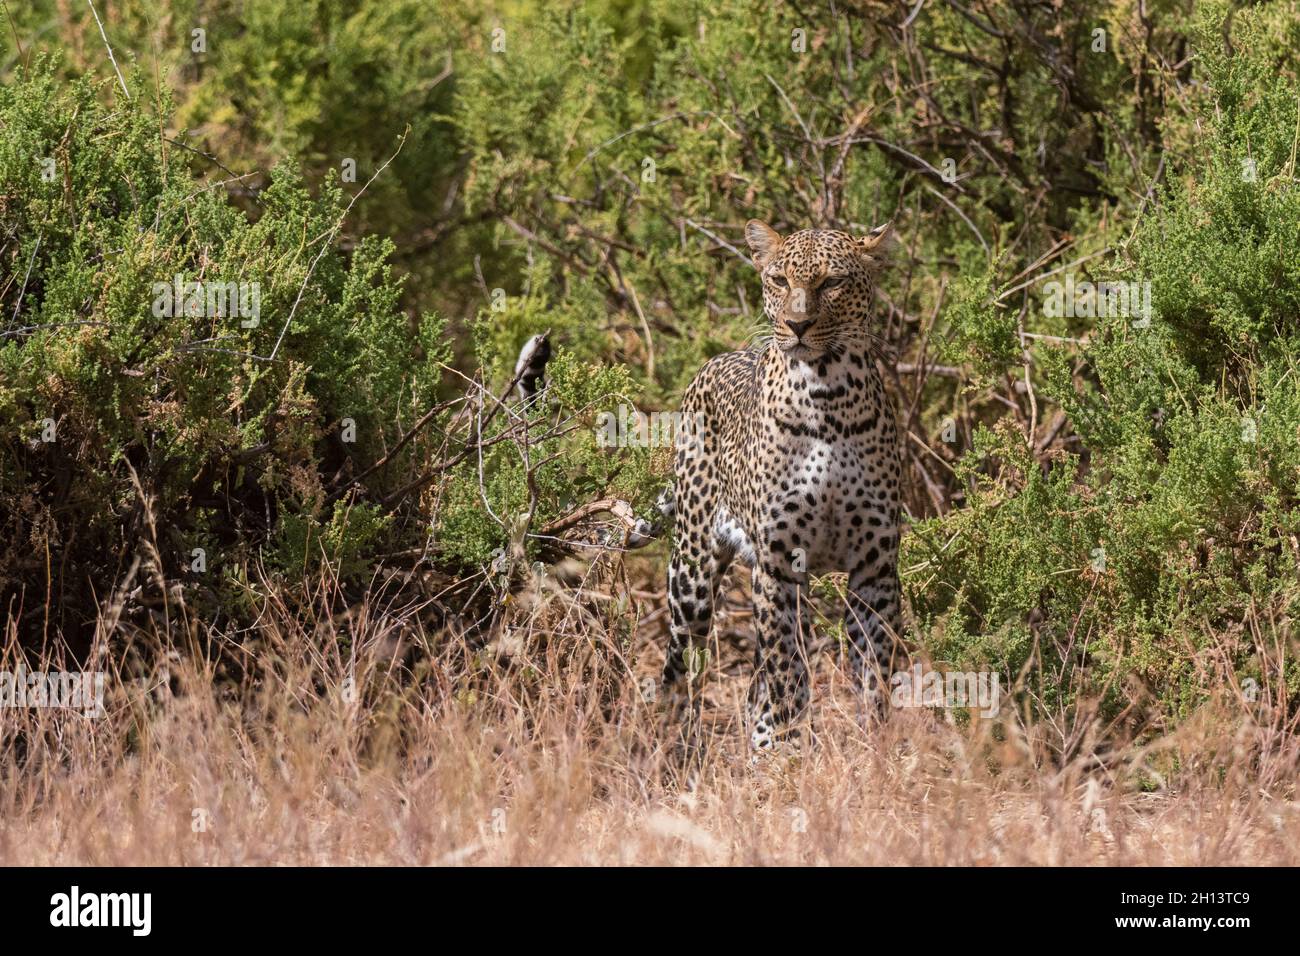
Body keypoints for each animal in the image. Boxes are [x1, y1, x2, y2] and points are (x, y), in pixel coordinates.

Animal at [662, 218, 907, 751]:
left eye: (831, 283)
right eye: (778, 280)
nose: (797, 325)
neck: (828, 398)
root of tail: (717, 360)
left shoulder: (874, 568)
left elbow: (875, 666)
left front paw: (876, 748)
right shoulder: (779, 563)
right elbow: (787, 667)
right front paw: (787, 751)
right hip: (691, 575)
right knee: (678, 666)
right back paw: (671, 742)